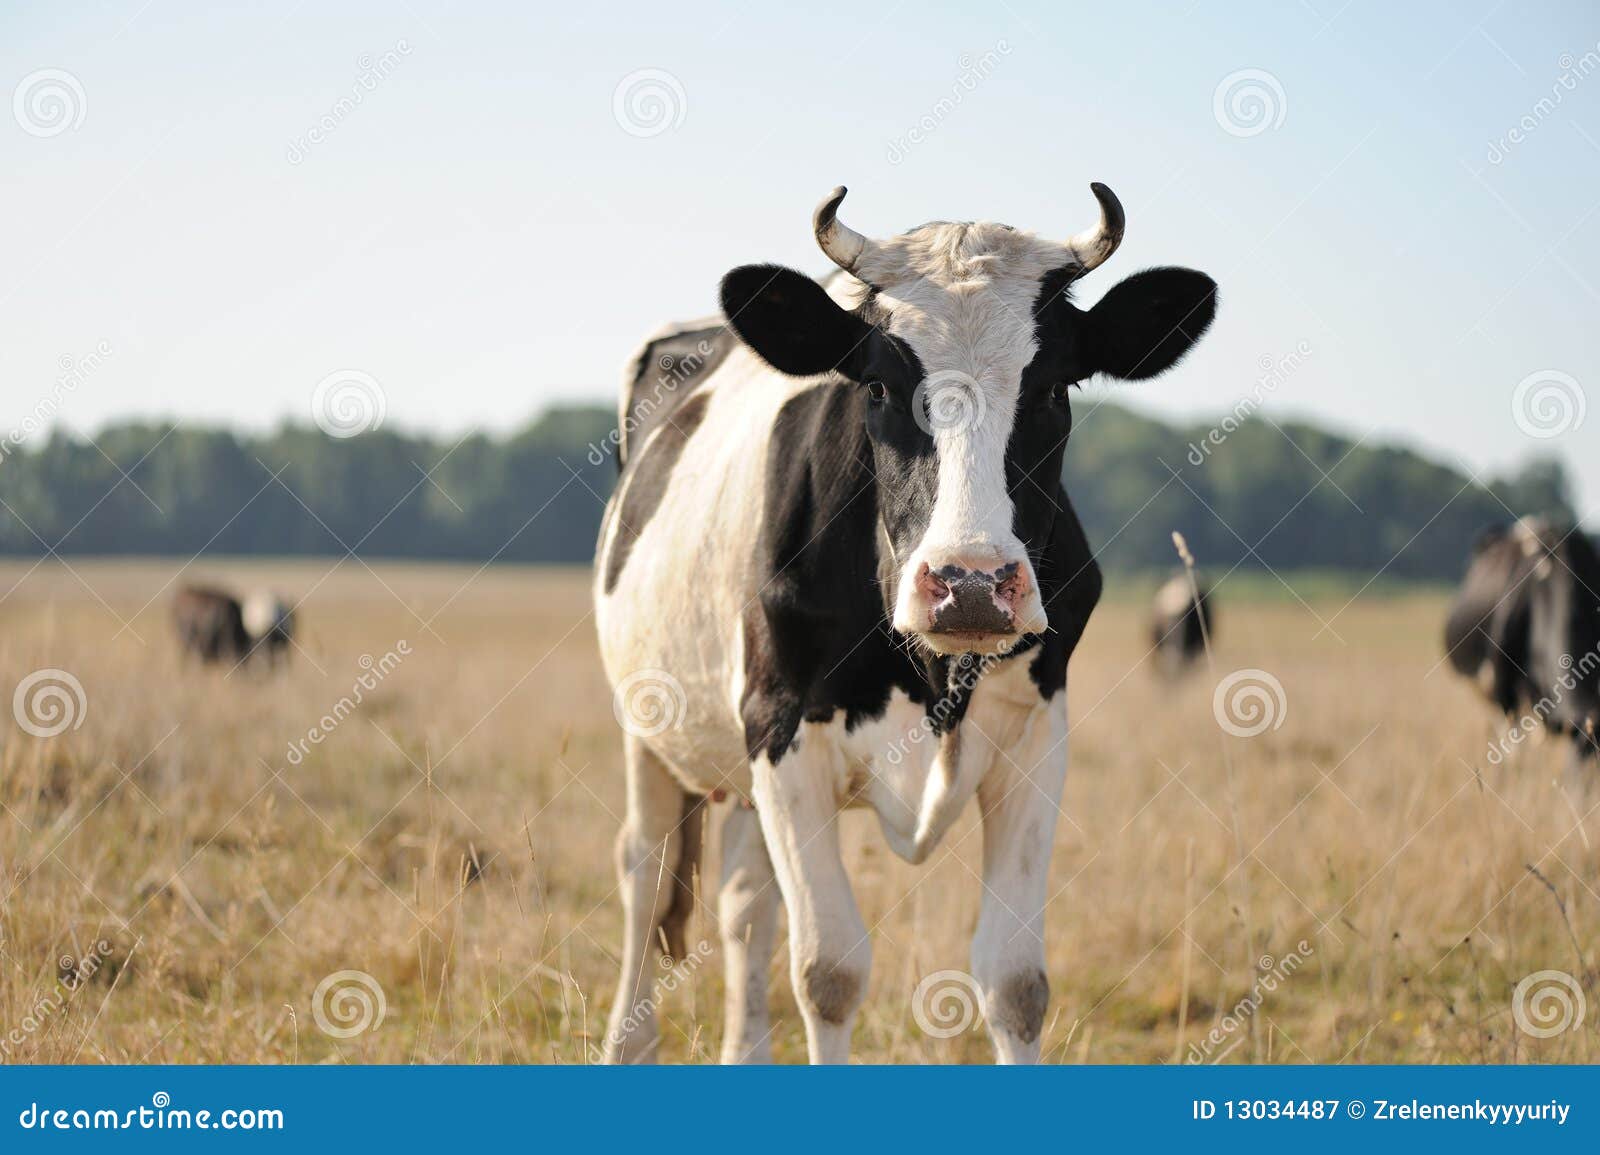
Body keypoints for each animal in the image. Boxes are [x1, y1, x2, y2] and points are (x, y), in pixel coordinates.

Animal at [594, 183, 1217, 1064]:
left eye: (1053, 387)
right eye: (881, 387)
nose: (971, 584)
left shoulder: (1037, 736)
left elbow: (1015, 980)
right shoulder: (781, 729)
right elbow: (829, 969)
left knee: (745, 902)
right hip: (646, 723)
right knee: (643, 879)